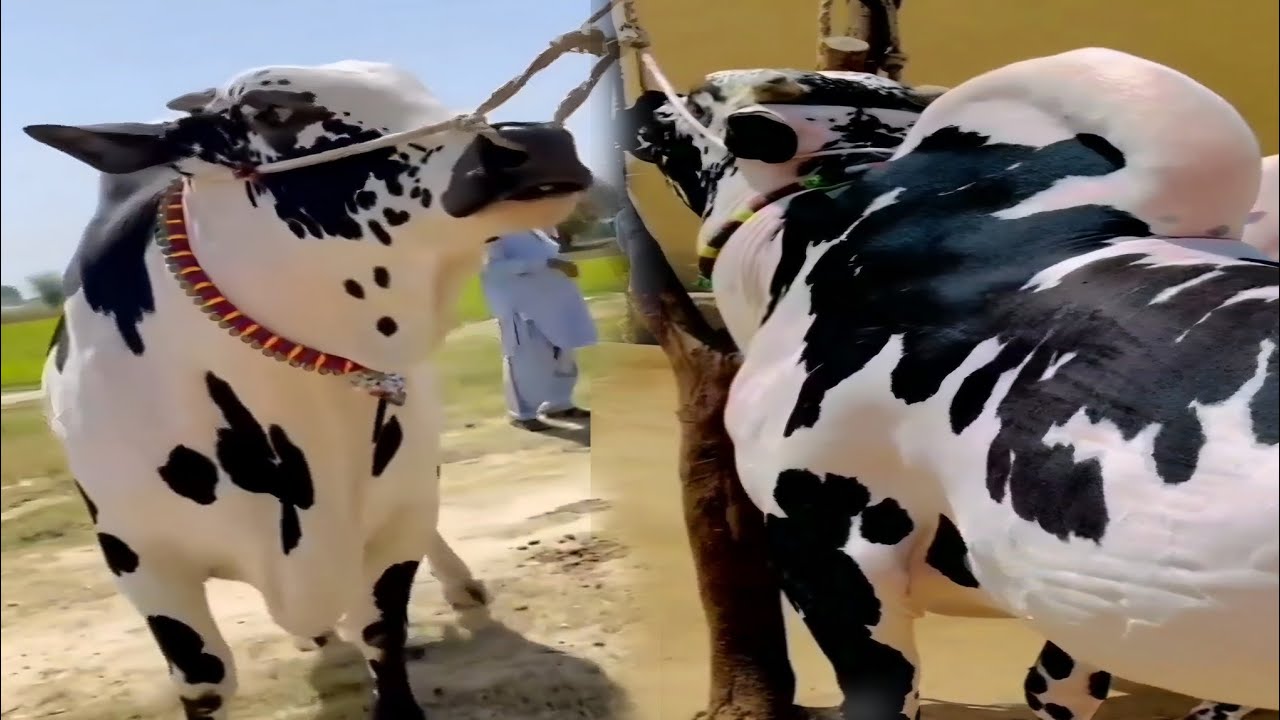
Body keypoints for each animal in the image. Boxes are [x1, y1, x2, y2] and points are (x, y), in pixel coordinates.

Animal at [24, 60, 591, 719]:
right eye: (272, 111)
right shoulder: (141, 556)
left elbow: (383, 631)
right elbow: (205, 680)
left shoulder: (397, 517)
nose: (538, 141)